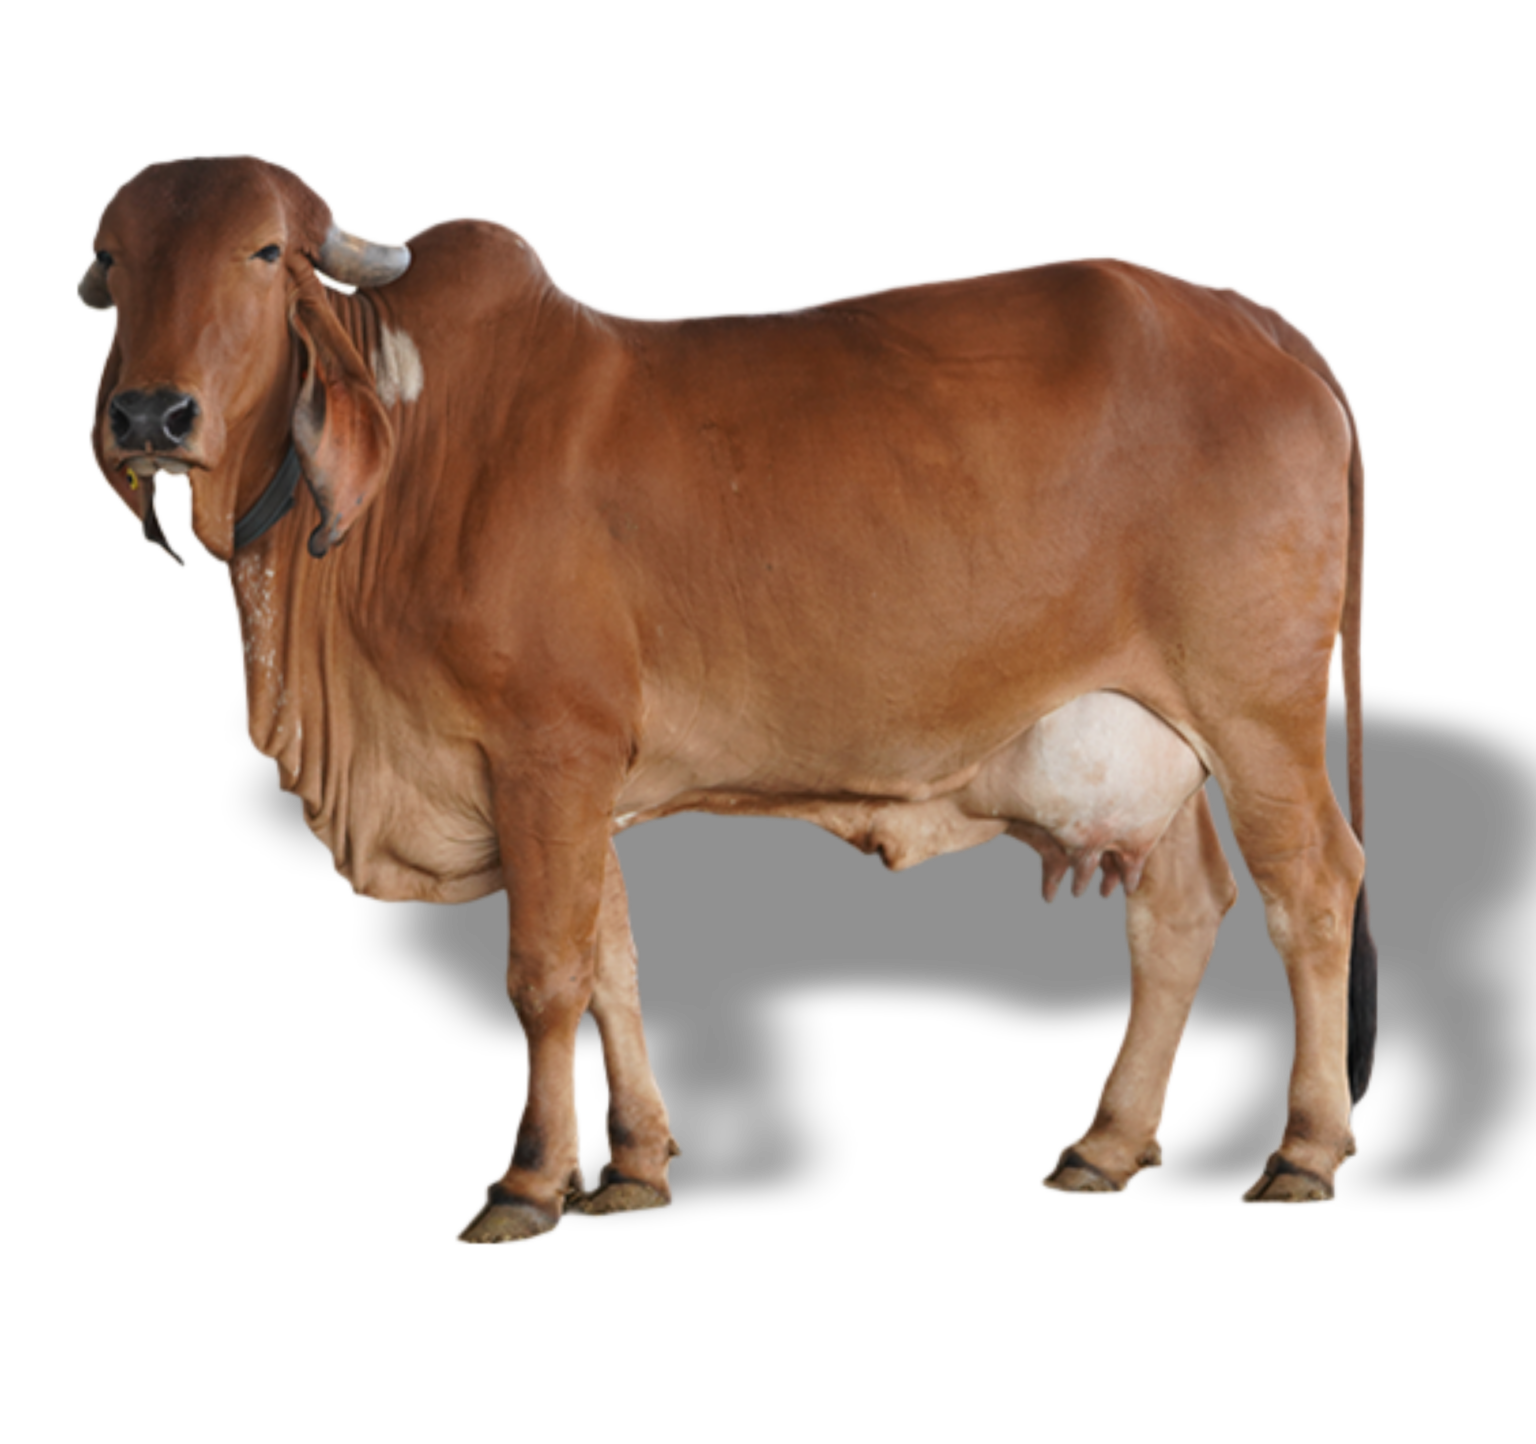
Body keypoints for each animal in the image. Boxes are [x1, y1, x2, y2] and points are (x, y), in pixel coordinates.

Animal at [81, 154, 1374, 1242]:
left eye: (263, 253)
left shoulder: (548, 750)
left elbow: (544, 973)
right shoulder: (583, 779)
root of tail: (1259, 322)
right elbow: (611, 957)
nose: (149, 415)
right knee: (1182, 908)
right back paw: (1108, 1141)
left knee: (1311, 884)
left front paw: (529, 1179)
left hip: (1258, 711)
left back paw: (1305, 1150)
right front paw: (634, 1165)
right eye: (115, 261)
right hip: (1152, 730)